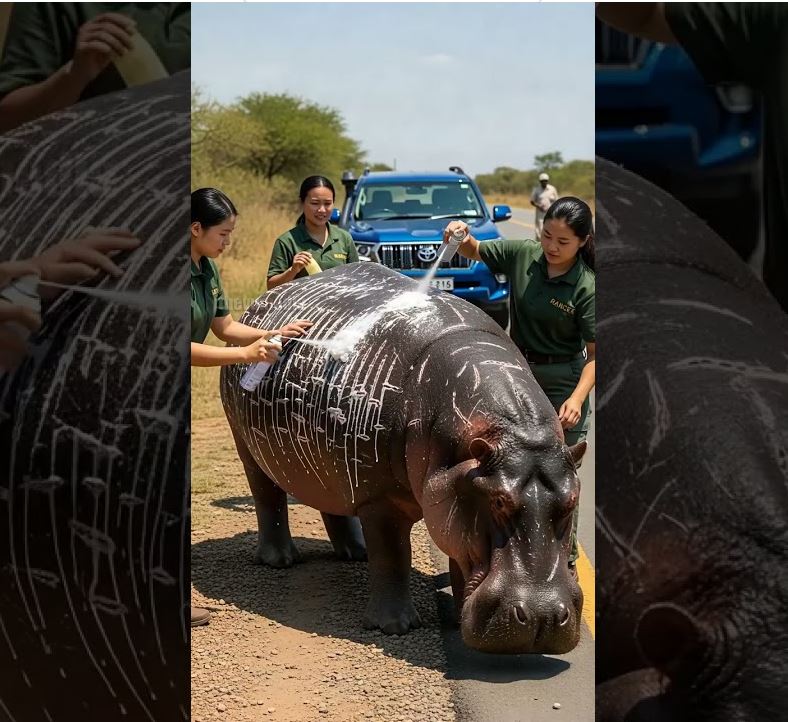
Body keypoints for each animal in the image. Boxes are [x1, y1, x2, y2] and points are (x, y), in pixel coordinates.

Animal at [220, 262, 586, 654]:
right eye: (499, 500)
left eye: (572, 500)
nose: (542, 616)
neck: (506, 431)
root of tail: (261, 300)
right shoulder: (382, 498)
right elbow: (393, 555)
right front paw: (395, 627)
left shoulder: (452, 493)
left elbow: (458, 557)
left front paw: (455, 620)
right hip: (246, 445)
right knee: (267, 496)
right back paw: (281, 559)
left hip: (329, 460)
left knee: (331, 498)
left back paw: (355, 552)